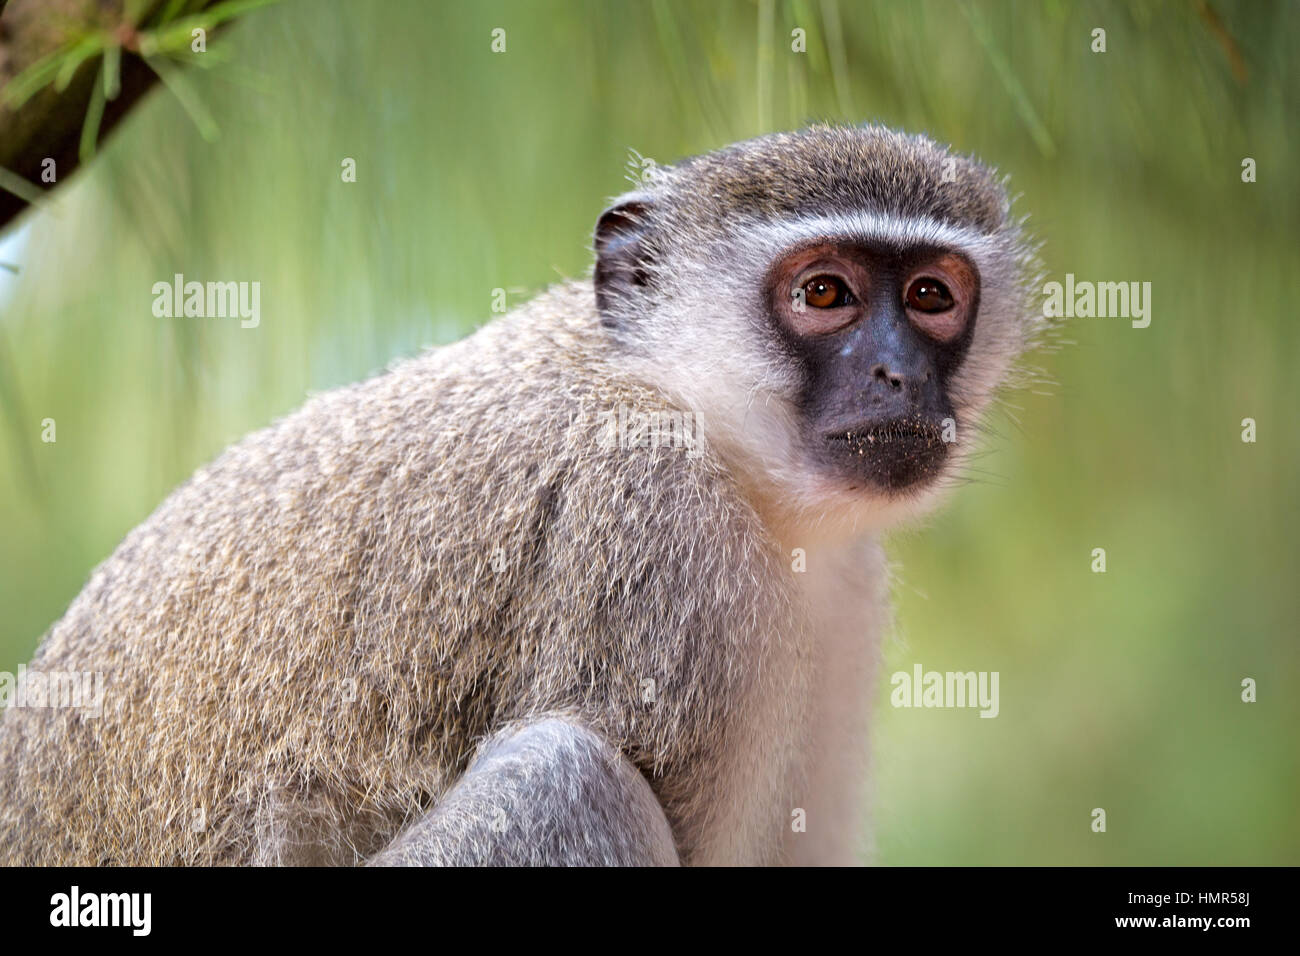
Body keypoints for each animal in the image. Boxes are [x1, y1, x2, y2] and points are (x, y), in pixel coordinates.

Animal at [0, 124, 1042, 866]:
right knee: (566, 777)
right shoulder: (650, 524)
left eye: (930, 297)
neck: (689, 410)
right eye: (825, 293)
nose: (898, 375)